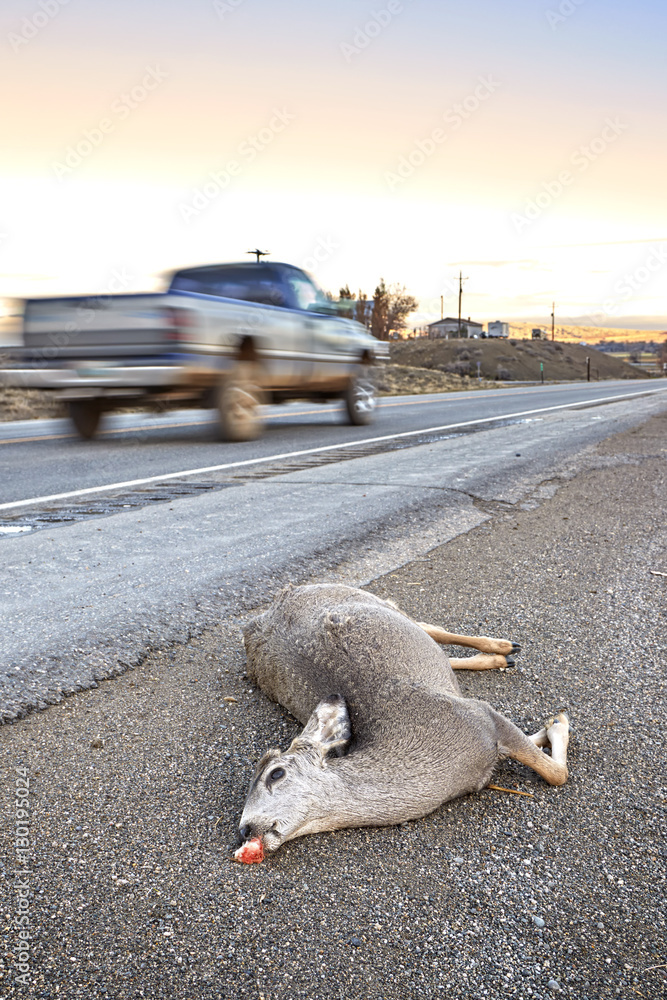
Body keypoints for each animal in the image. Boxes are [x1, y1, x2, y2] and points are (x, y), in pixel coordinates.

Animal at [236, 583, 569, 861]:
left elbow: (556, 774)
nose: (244, 829)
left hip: (371, 599)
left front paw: (558, 723)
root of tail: (258, 619)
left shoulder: (481, 714)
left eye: (275, 774)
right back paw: (498, 657)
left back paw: (503, 647)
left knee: (429, 626)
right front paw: (545, 729)